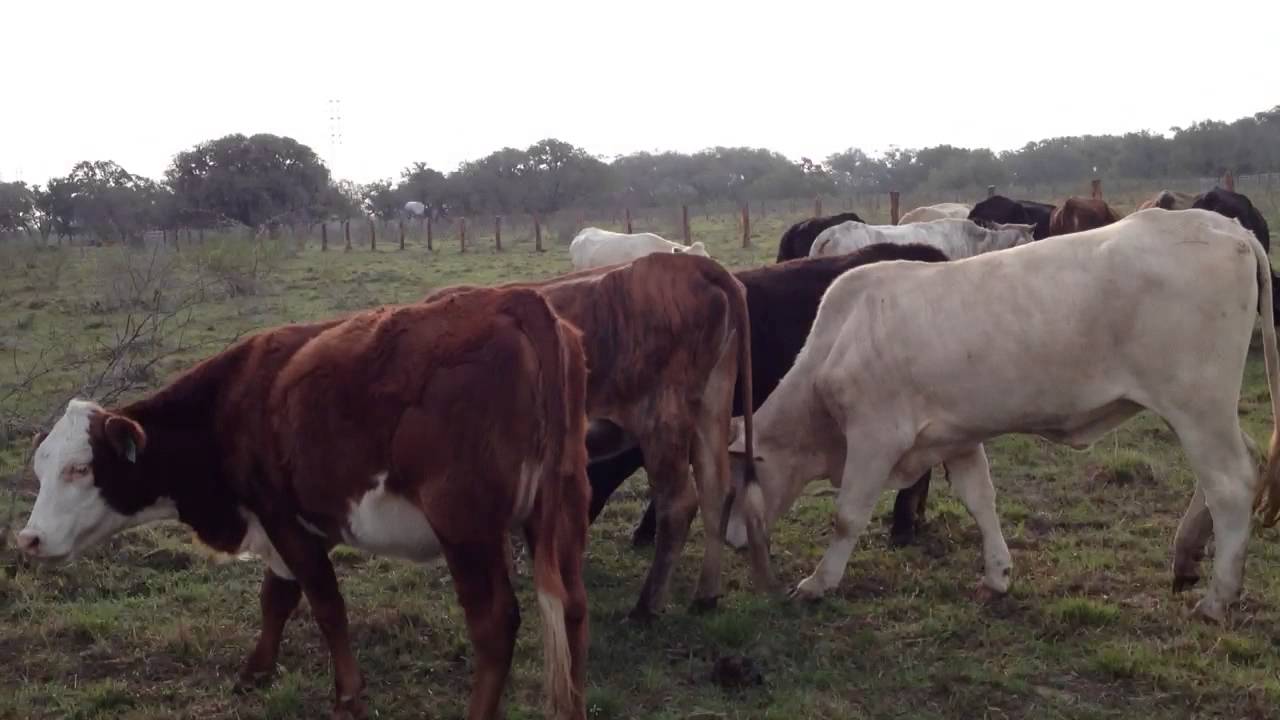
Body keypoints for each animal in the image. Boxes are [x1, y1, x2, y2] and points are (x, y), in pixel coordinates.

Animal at [18, 288, 593, 720]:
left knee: (494, 623)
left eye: (80, 469)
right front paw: (255, 672)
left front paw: (347, 696)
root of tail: (512, 299)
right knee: (572, 607)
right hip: (564, 509)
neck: (229, 404)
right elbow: (276, 597)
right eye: (40, 470)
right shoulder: (293, 524)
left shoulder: (283, 517)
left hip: (464, 524)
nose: (29, 539)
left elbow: (324, 605)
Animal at [427, 252, 774, 619]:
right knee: (715, 490)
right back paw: (705, 595)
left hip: (664, 417)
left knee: (679, 503)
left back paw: (644, 609)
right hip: (712, 403)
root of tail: (692, 263)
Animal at [723, 208, 1280, 624]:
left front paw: (818, 582)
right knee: (1233, 469)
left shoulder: (874, 437)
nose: (729, 539)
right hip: (1200, 411)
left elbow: (846, 517)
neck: (842, 338)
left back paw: (1217, 598)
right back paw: (1187, 557)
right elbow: (980, 501)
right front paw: (997, 575)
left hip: (1196, 404)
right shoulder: (957, 436)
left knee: (1230, 483)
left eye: (733, 486)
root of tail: (1226, 226)